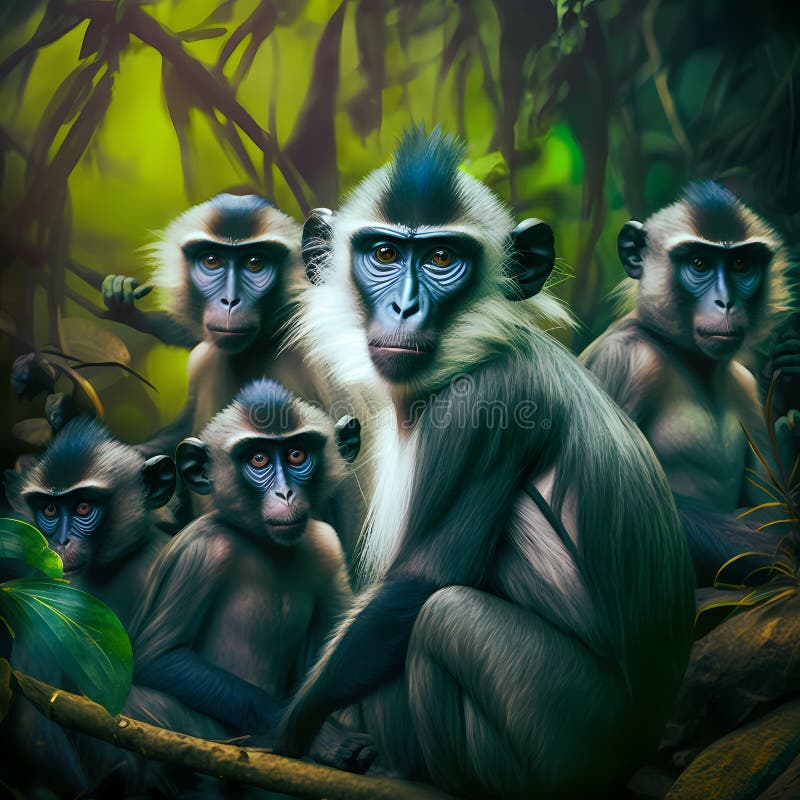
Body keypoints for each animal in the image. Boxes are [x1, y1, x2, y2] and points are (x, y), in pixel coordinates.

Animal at [270, 126, 695, 798]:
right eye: (384, 254)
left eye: (443, 260)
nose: (405, 309)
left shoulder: (480, 406)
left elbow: (421, 581)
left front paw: (295, 731)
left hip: (567, 727)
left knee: (444, 616)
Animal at [580, 181, 796, 586]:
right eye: (699, 264)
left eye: (741, 265)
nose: (726, 302)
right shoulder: (623, 362)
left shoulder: (744, 385)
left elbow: (767, 501)